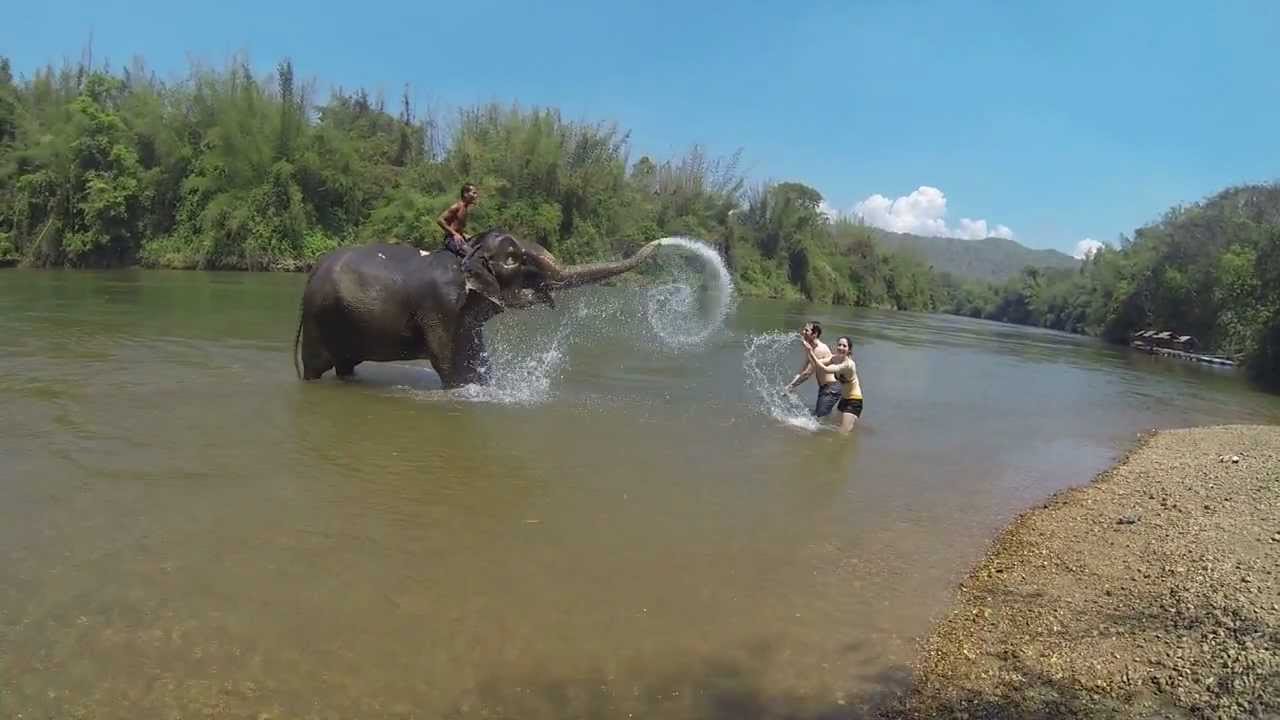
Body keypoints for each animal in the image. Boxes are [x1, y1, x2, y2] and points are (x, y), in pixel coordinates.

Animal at [292, 230, 661, 387]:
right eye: (512, 259)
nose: (659, 242)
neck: (467, 253)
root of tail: (311, 271)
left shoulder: (467, 318)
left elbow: (476, 355)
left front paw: (484, 385)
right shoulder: (439, 307)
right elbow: (447, 363)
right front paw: (464, 390)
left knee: (345, 366)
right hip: (318, 321)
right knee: (314, 368)